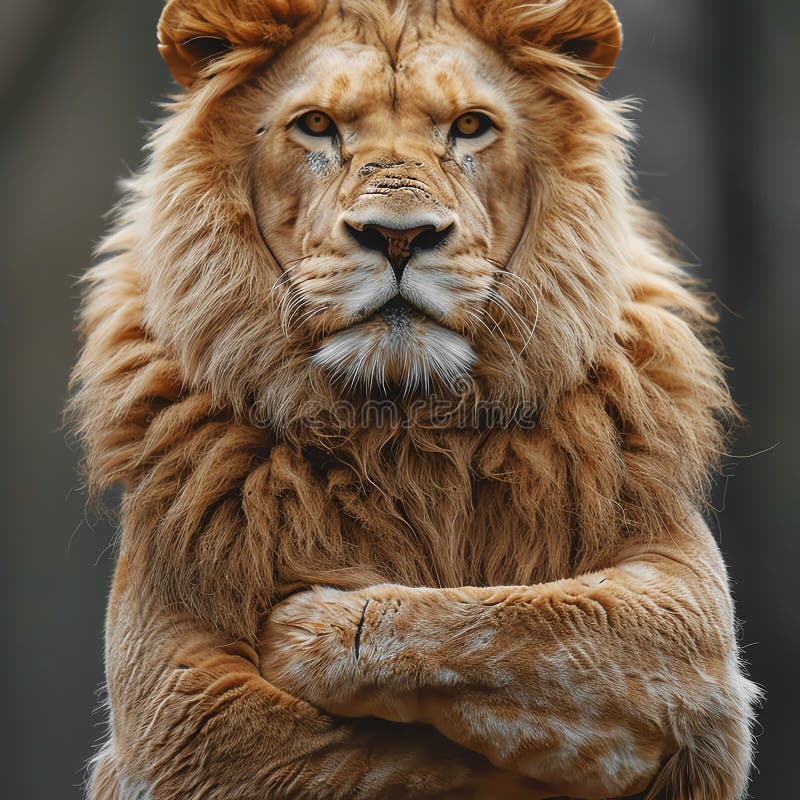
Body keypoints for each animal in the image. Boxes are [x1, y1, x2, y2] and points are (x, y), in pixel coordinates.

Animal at [70, 0, 758, 798]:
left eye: (469, 126)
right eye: (316, 125)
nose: (398, 238)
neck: (406, 430)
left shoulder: (686, 606)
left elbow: (521, 625)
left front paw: (306, 630)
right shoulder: (175, 702)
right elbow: (379, 758)